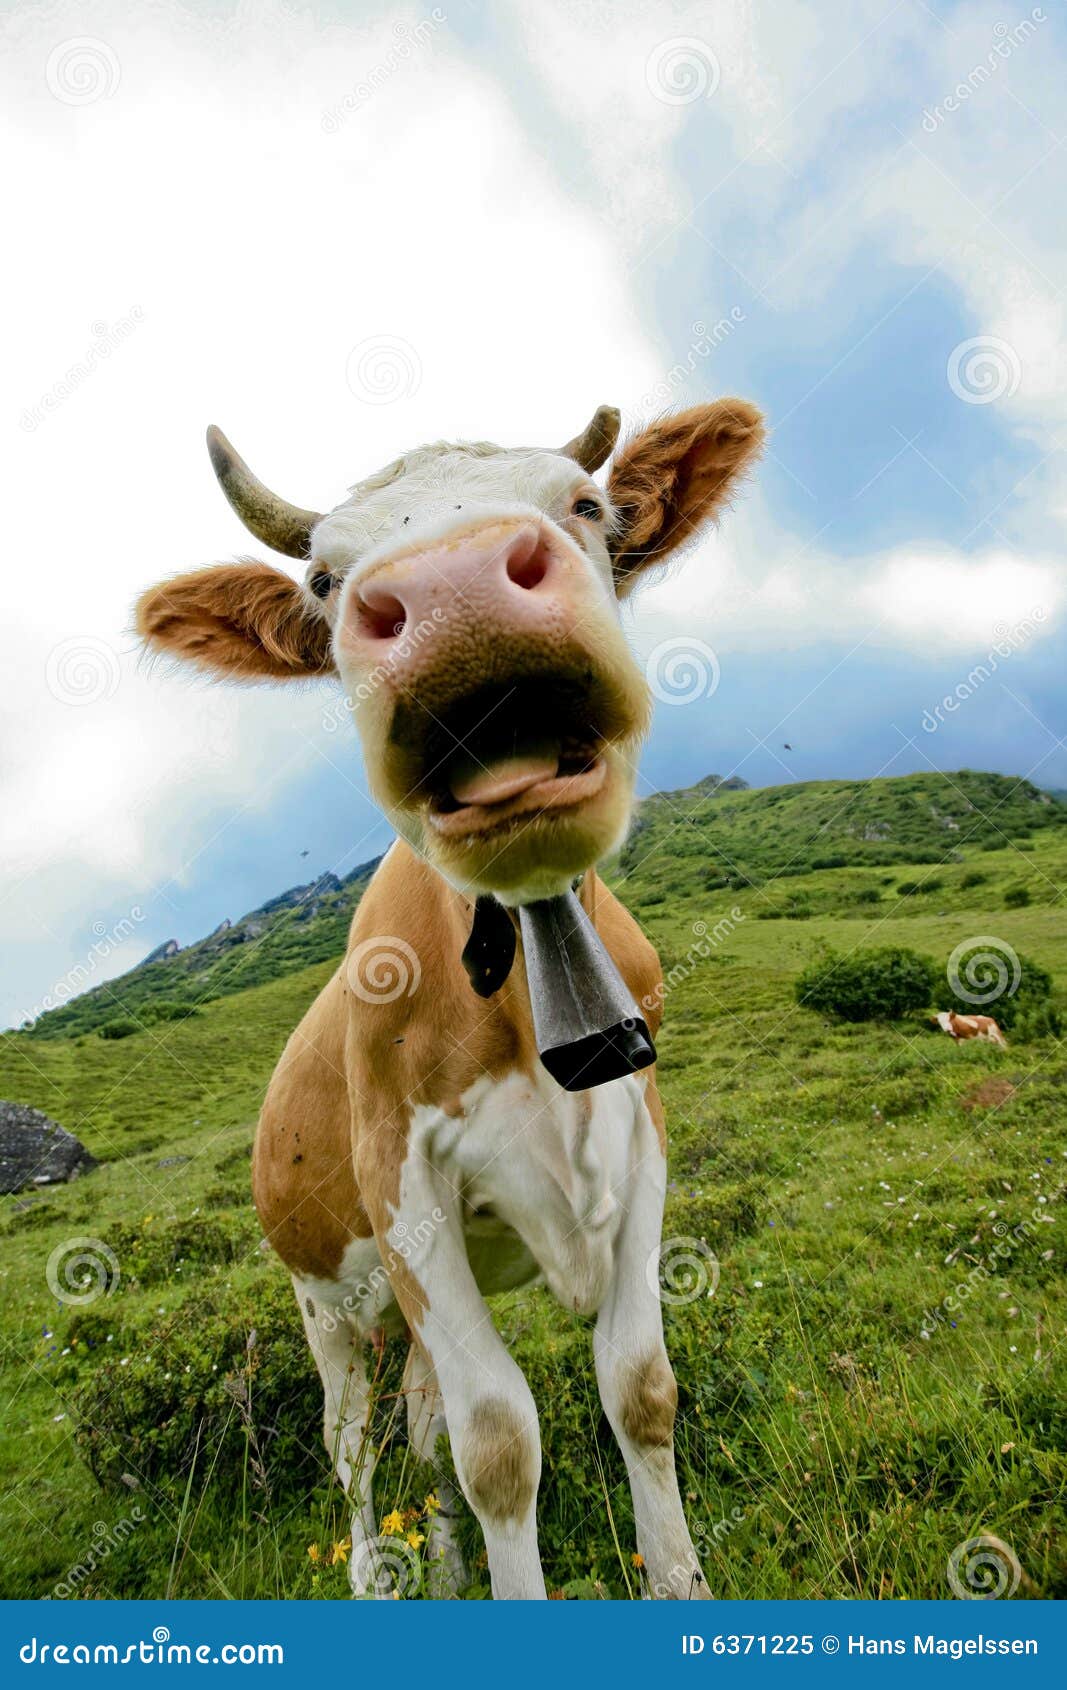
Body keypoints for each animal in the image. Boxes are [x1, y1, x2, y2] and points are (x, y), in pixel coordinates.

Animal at [136, 396, 764, 1600]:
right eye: (323, 581)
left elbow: (639, 1389)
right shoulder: (404, 1190)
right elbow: (497, 1447)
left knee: (420, 1424)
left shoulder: (643, 1139)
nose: (455, 592)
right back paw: (374, 1570)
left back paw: (438, 1569)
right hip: (325, 1304)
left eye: (587, 507)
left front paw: (676, 1580)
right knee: (351, 1443)